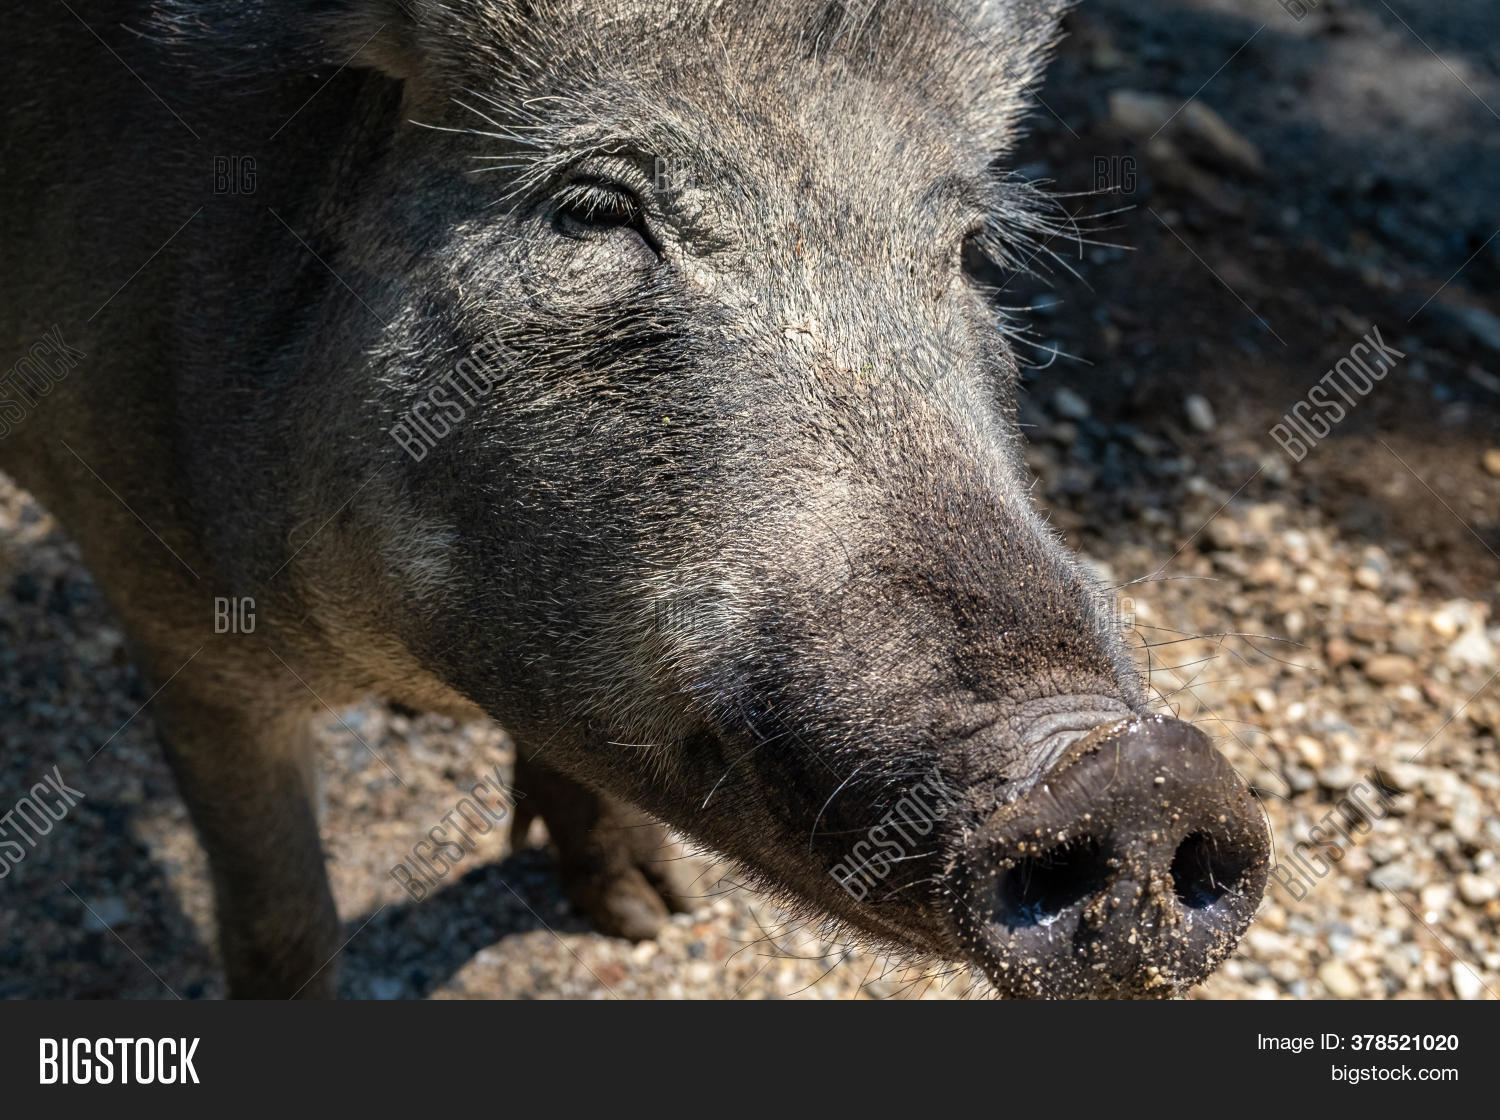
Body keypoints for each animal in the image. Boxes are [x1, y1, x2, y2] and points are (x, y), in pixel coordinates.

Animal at [0, 0, 1269, 998]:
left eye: (967, 250)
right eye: (594, 209)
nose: (1137, 772)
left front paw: (652, 915)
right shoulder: (176, 630)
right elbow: (283, 920)